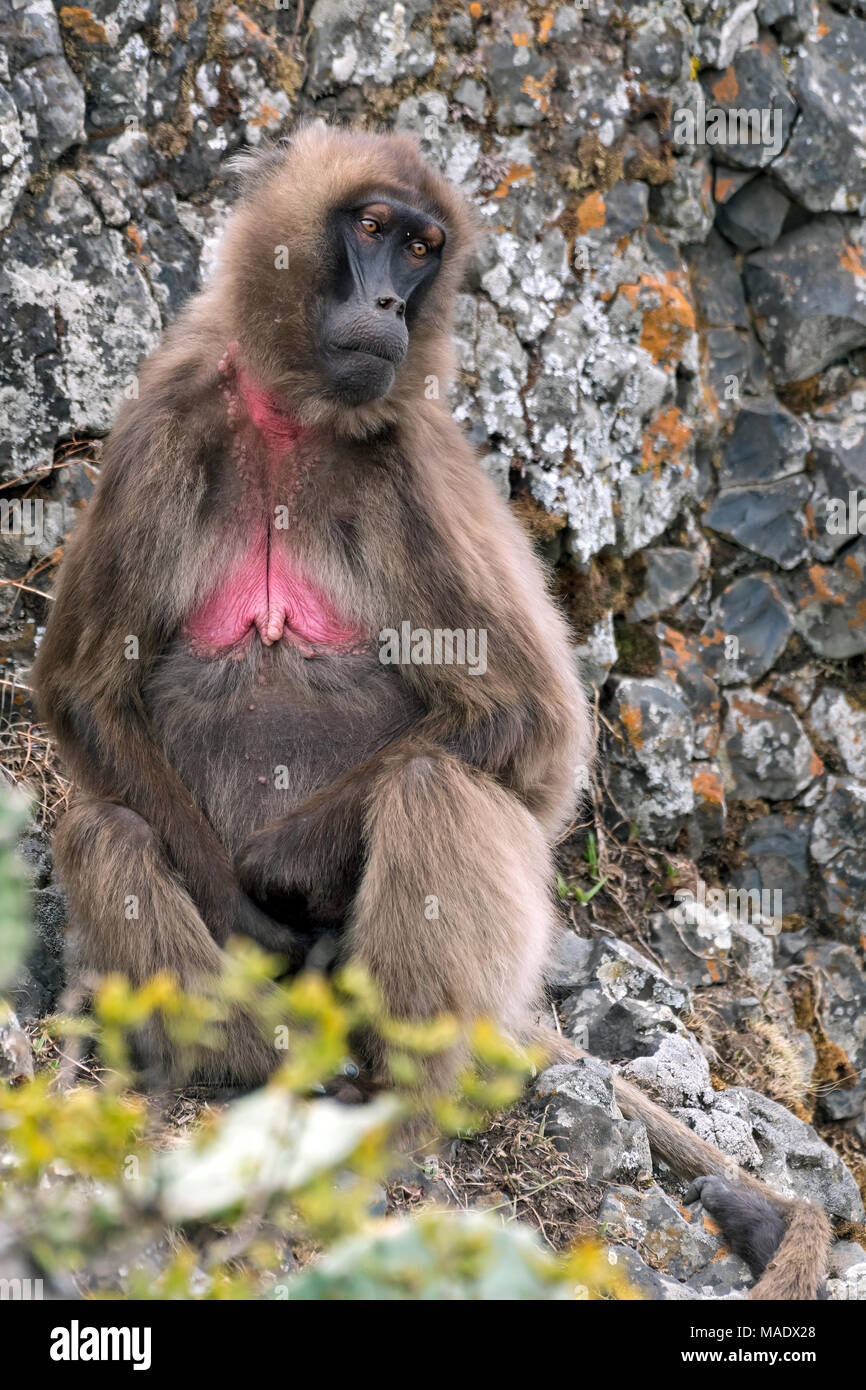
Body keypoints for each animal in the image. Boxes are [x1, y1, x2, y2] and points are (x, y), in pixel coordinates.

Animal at [33, 124, 830, 1299]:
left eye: (422, 249)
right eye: (371, 228)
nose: (390, 305)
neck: (294, 417)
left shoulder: (414, 462)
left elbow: (531, 724)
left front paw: (276, 876)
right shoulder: (162, 421)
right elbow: (89, 688)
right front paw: (246, 909)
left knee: (429, 783)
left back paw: (394, 1105)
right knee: (105, 827)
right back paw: (249, 1064)